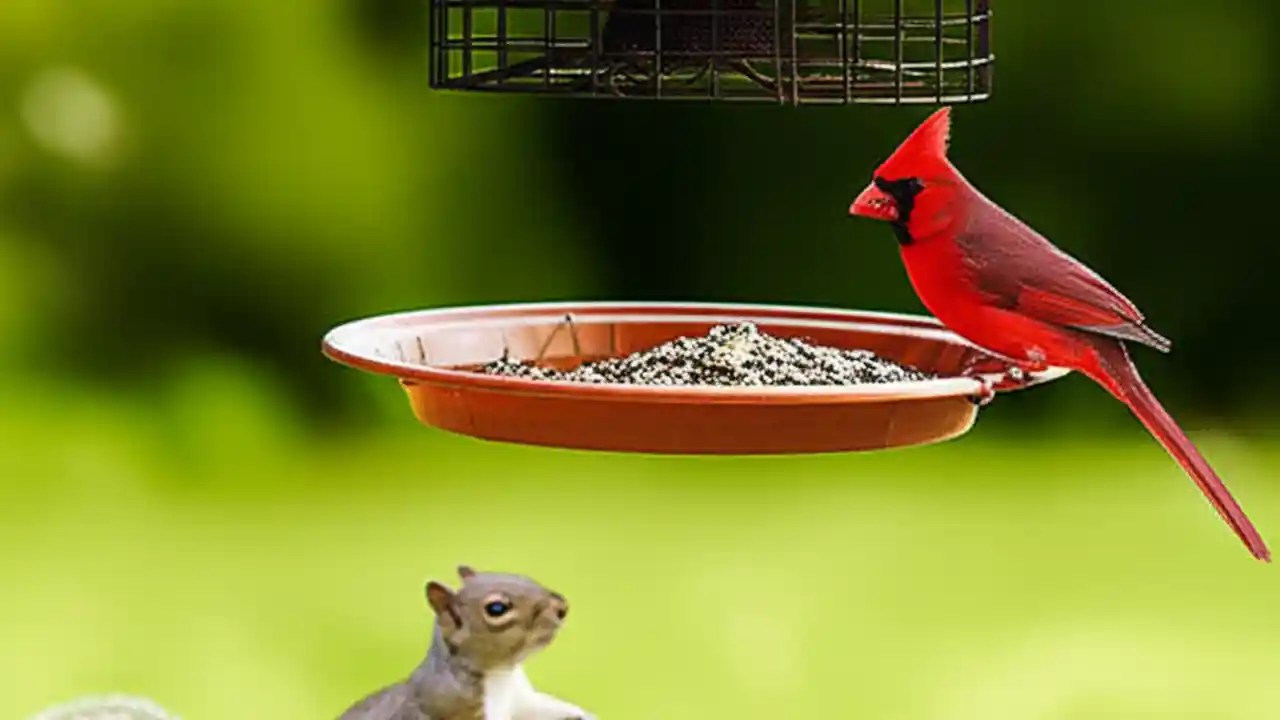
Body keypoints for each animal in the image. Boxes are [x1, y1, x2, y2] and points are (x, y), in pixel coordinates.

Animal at [338, 566, 595, 720]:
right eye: (497, 608)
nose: (562, 607)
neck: (501, 674)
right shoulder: (458, 711)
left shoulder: (521, 700)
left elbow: (541, 707)